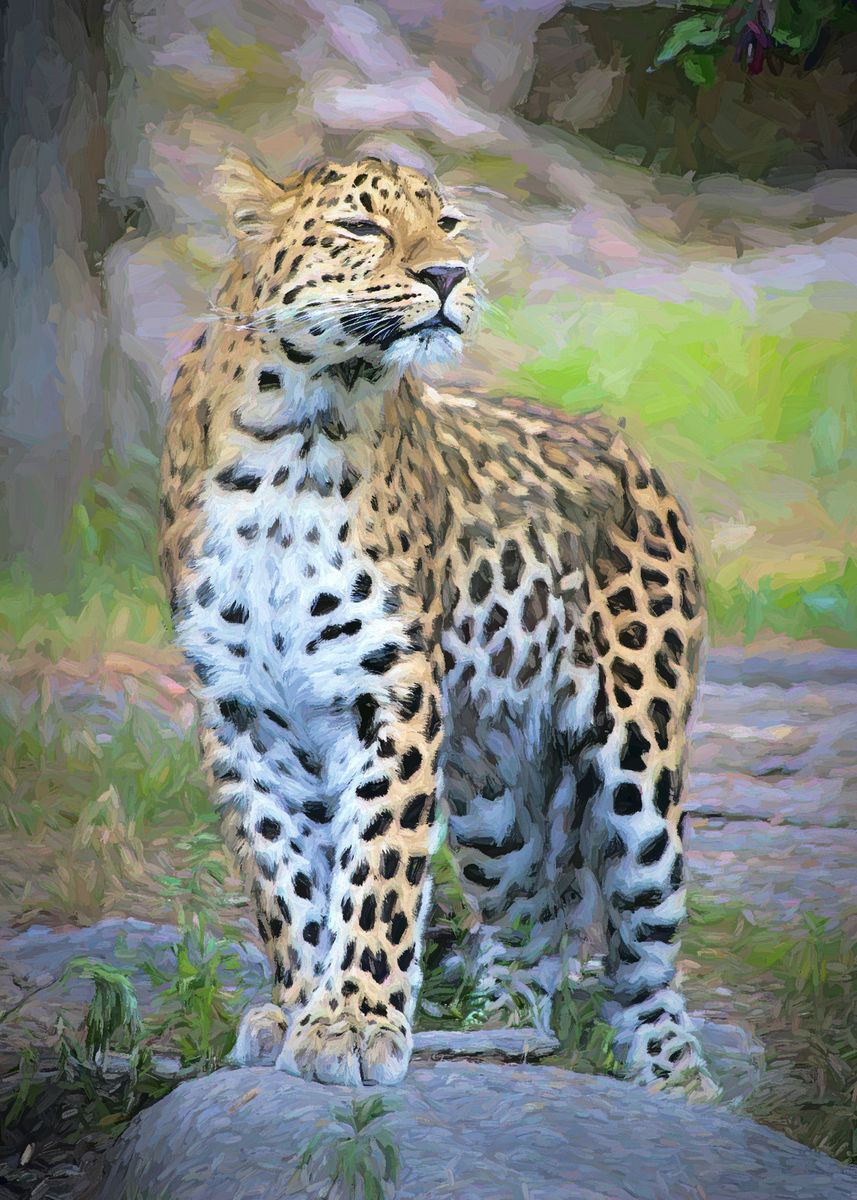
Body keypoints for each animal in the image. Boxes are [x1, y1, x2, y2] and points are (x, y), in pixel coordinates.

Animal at [159, 151, 717, 1097]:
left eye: (447, 224)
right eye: (360, 228)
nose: (449, 275)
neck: (291, 435)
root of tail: (629, 450)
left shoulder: (386, 694)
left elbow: (378, 865)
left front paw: (351, 1025)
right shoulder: (240, 713)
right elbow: (284, 878)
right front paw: (299, 1006)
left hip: (640, 770)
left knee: (641, 955)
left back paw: (675, 1079)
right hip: (491, 793)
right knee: (536, 918)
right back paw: (502, 1029)